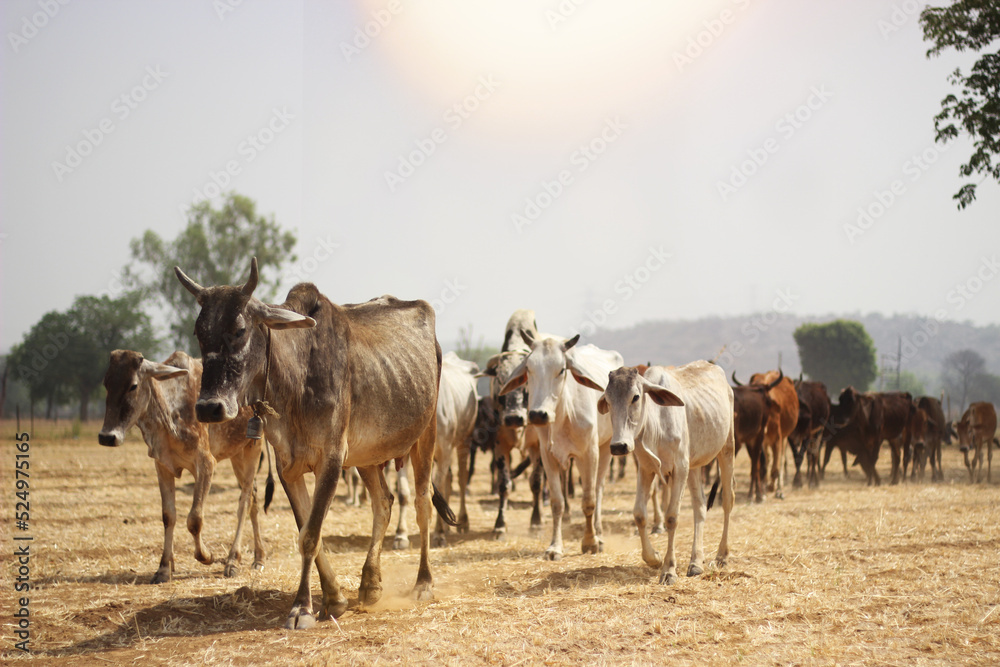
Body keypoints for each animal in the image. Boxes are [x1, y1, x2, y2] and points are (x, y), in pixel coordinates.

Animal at [97, 350, 264, 583]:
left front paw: (207, 556)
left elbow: (194, 519)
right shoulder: (162, 466)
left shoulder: (206, 464)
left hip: (252, 449)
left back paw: (232, 560)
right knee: (255, 499)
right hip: (237, 455)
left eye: (133, 385)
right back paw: (259, 557)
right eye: (106, 383)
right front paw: (164, 567)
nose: (107, 436)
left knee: (245, 502)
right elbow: (169, 516)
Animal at [175, 258, 455, 629]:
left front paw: (302, 608)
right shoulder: (288, 467)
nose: (209, 407)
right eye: (199, 332)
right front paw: (333, 598)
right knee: (383, 502)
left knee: (423, 503)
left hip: (425, 437)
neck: (296, 378)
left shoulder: (332, 461)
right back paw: (370, 584)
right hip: (367, 456)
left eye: (240, 330)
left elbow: (309, 536)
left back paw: (423, 582)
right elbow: (310, 530)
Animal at [499, 332, 623, 560]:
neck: (564, 413)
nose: (538, 414)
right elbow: (557, 502)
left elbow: (588, 500)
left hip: (605, 448)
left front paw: (590, 541)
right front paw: (555, 547)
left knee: (598, 489)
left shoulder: (589, 454)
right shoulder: (548, 457)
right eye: (529, 368)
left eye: (562, 369)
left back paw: (600, 534)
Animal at [598, 362, 735, 584]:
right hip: (693, 466)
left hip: (726, 449)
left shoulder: (679, 468)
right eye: (608, 400)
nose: (619, 446)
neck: (657, 423)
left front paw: (669, 570)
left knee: (728, 501)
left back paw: (722, 555)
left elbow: (672, 517)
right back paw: (696, 562)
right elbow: (639, 514)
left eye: (635, 397)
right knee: (700, 506)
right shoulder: (646, 469)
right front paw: (654, 558)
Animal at [748, 370, 799, 499]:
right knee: (770, 459)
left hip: (784, 438)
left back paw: (779, 489)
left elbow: (776, 467)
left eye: (766, 403)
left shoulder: (778, 439)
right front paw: (766, 487)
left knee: (781, 460)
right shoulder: (763, 442)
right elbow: (766, 465)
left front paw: (773, 488)